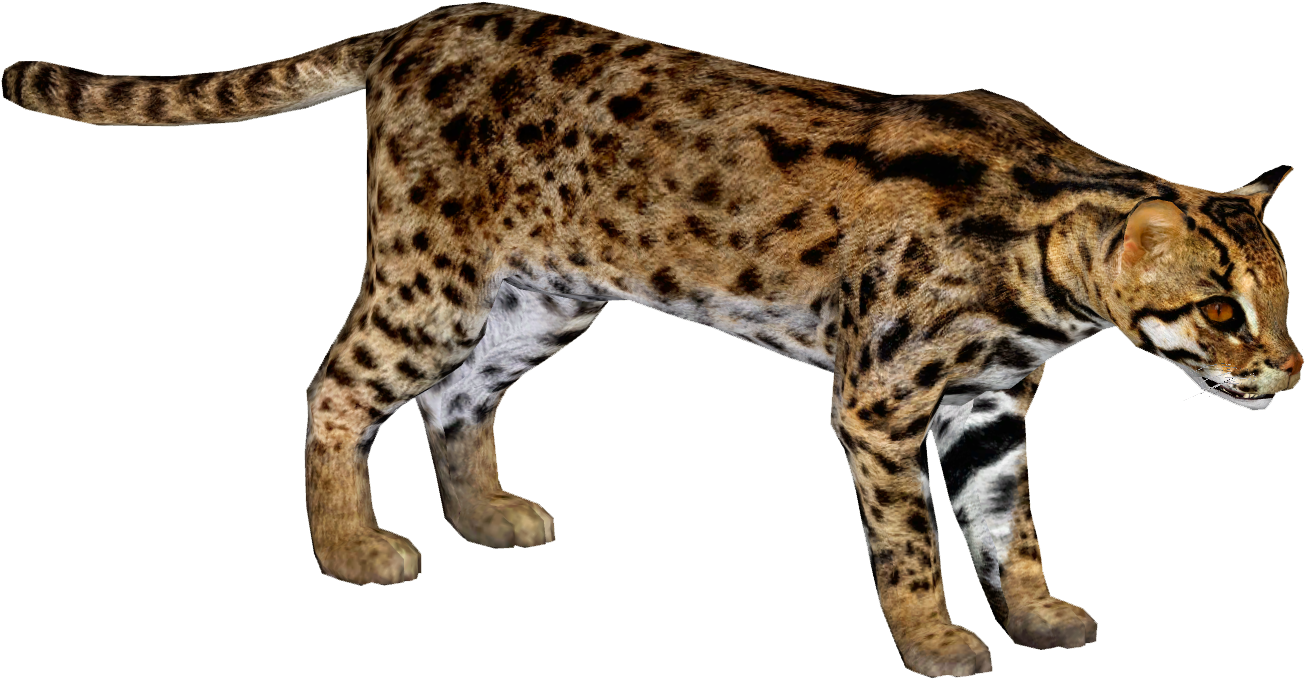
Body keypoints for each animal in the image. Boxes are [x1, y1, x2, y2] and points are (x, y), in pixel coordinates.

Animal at [4, 3, 1298, 676]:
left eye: (1285, 302)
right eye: (1221, 310)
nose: (1291, 369)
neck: (1045, 262)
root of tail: (415, 25)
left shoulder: (991, 404)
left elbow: (1009, 526)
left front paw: (1033, 613)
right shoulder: (880, 400)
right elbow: (913, 542)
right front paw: (934, 635)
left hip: (540, 299)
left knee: (457, 399)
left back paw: (483, 513)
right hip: (431, 280)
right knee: (335, 387)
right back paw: (350, 547)